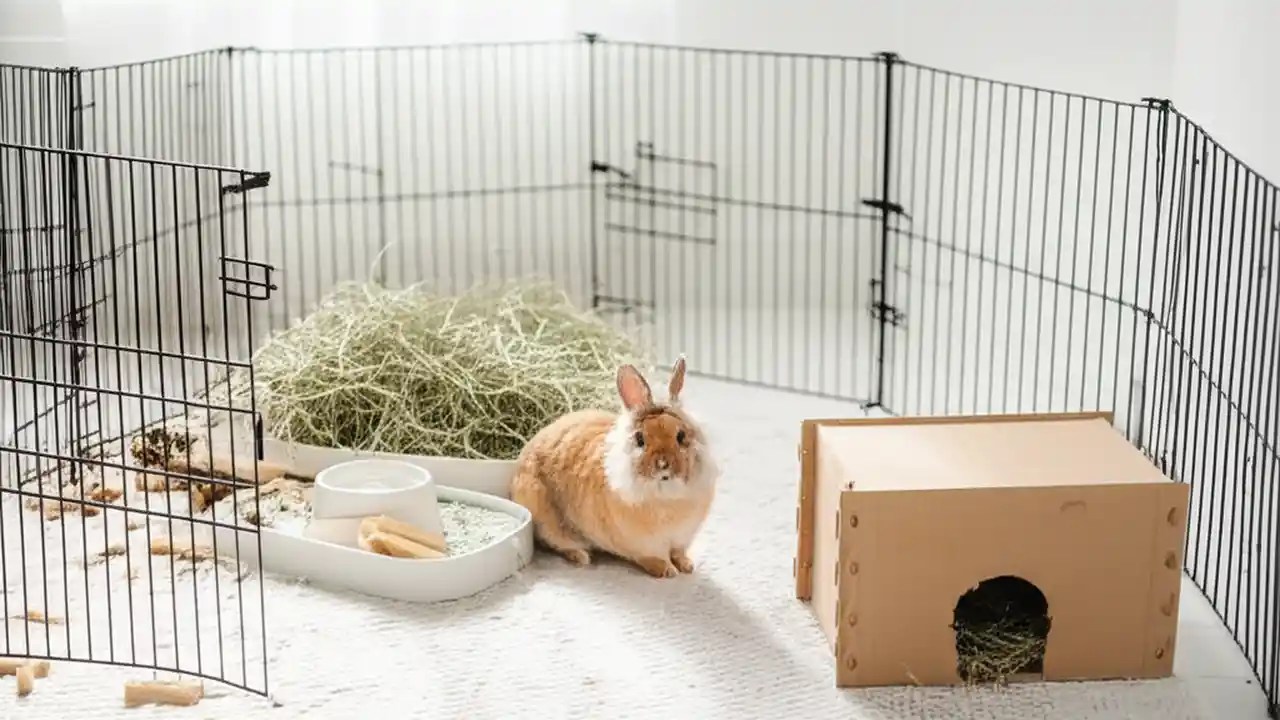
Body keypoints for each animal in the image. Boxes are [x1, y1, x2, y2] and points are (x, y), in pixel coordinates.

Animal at [509, 356, 718, 578]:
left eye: (681, 436)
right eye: (639, 439)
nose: (663, 464)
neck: (666, 495)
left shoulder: (681, 539)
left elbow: (678, 553)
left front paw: (687, 566)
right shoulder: (647, 546)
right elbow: (657, 559)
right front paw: (668, 571)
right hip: (546, 523)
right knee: (558, 544)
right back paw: (581, 557)